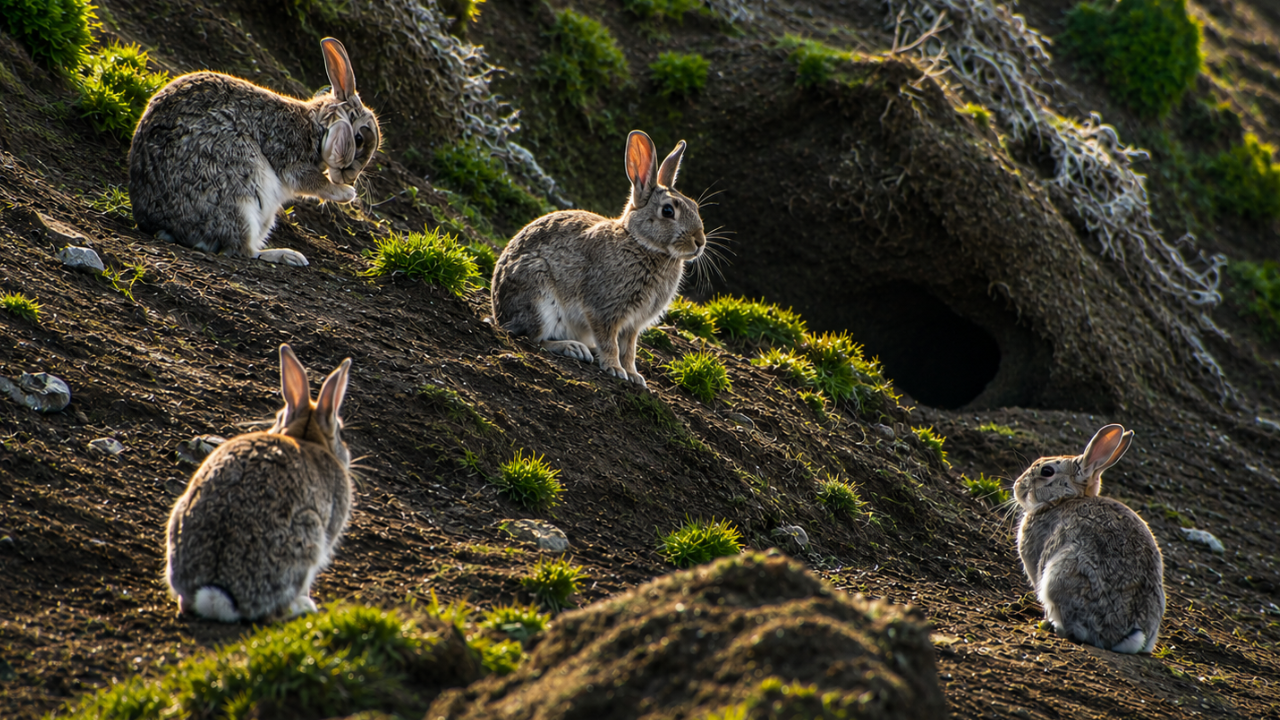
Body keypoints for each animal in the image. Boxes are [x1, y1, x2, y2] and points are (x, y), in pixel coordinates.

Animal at [129, 37, 380, 267]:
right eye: (359, 139)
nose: (352, 177)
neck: (317, 126)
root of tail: (159, 224)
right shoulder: (288, 149)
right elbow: (310, 181)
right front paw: (347, 193)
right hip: (240, 191)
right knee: (241, 249)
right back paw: (288, 255)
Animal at [165, 344, 354, 622]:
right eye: (340, 431)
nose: (346, 454)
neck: (305, 439)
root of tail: (218, 592)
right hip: (309, 534)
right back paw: (303, 606)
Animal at [491, 130, 706, 388]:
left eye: (694, 206)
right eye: (667, 211)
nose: (700, 242)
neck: (642, 244)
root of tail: (499, 313)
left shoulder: (632, 325)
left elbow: (629, 350)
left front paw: (634, 376)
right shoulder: (604, 309)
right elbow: (610, 342)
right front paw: (615, 369)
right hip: (538, 297)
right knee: (533, 337)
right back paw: (573, 348)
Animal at [1013, 424, 1166, 653]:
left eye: (1046, 471)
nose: (1017, 486)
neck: (1064, 500)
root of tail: (1127, 634)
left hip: (1062, 574)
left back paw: (1052, 626)